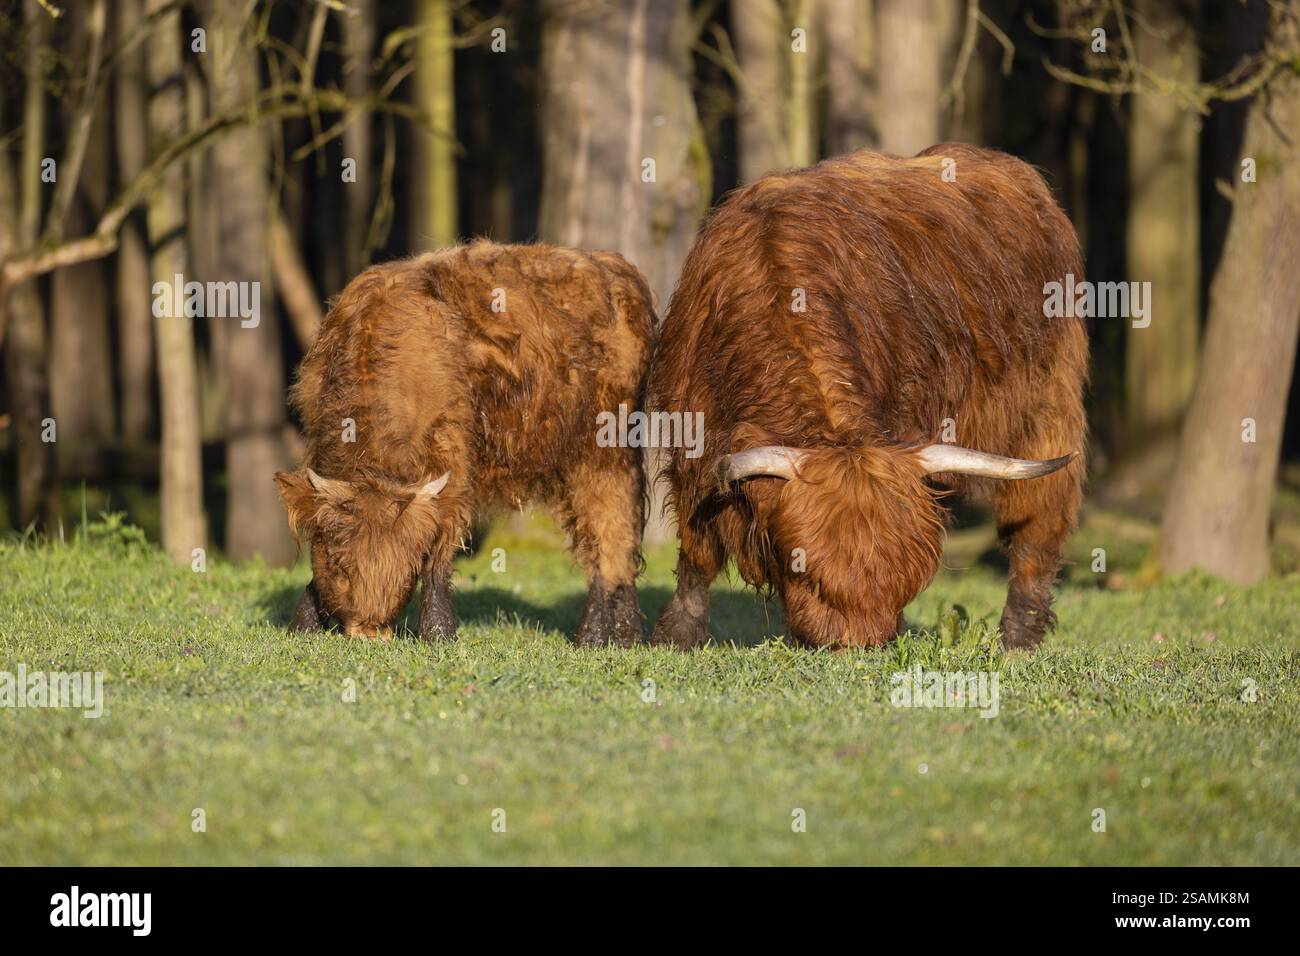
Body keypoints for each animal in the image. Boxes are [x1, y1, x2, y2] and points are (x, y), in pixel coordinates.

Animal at [276, 241, 654, 646]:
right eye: (339, 563)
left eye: (408, 566)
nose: (369, 634)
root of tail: (611, 264)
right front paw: (303, 624)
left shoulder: (451, 458)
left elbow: (441, 551)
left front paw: (438, 632)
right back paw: (619, 635)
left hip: (606, 452)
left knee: (613, 533)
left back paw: (602, 636)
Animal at [648, 144, 1088, 652]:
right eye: (810, 577)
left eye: (904, 585)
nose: (863, 642)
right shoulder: (693, 434)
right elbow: (697, 549)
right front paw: (678, 634)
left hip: (1046, 401)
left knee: (1037, 520)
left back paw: (1018, 636)